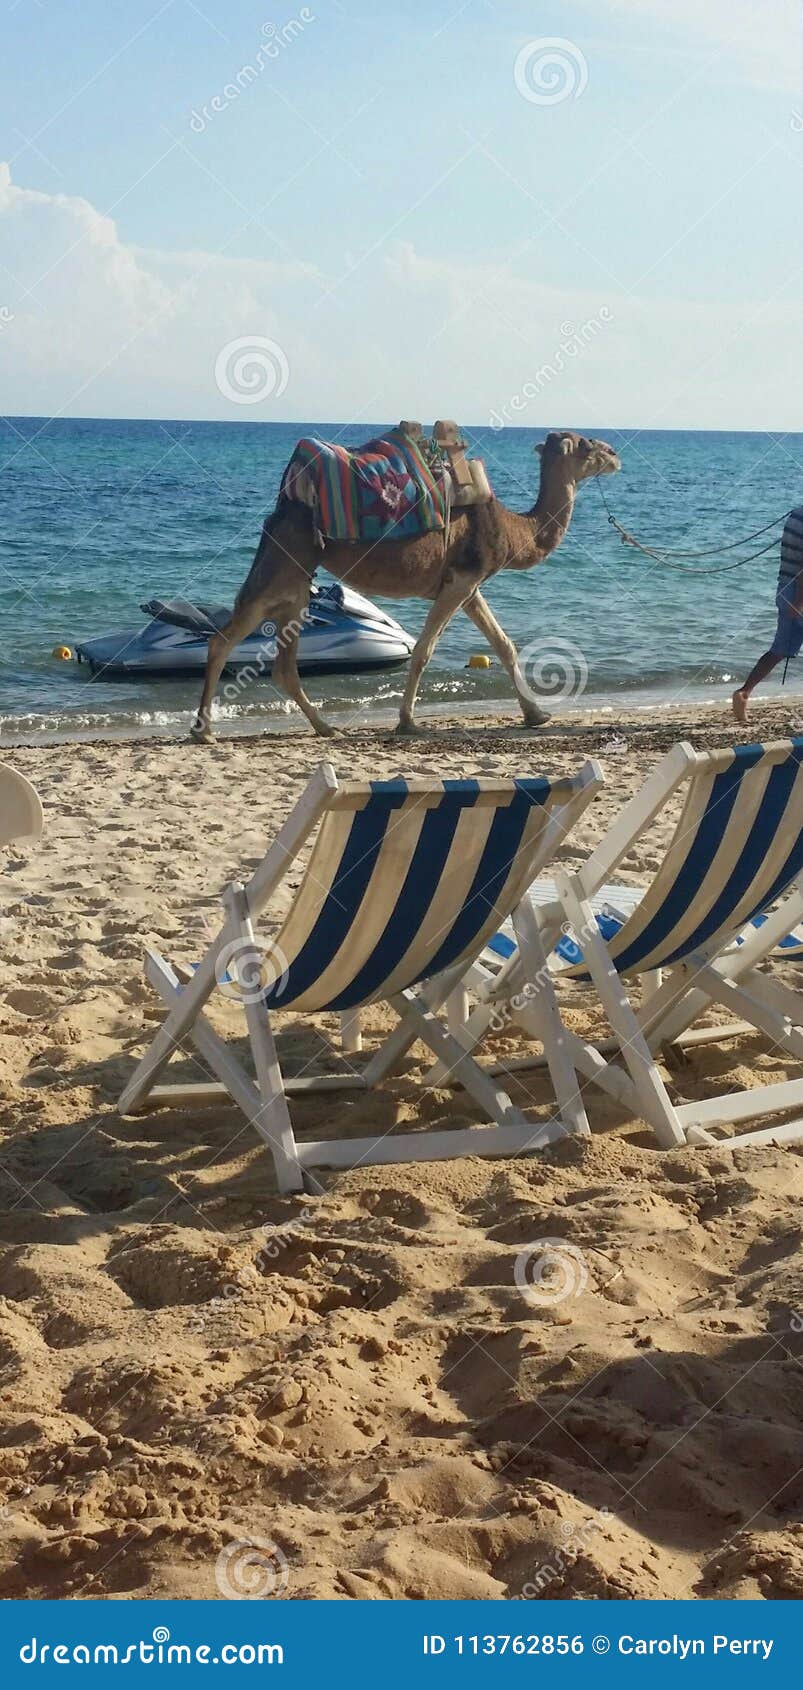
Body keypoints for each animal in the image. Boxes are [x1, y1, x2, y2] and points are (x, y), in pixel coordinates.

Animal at [191, 429, 621, 741]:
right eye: (586, 442)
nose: (615, 453)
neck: (515, 530)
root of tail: (285, 498)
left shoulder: (468, 585)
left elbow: (504, 645)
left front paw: (536, 714)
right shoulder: (462, 580)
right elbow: (424, 651)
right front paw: (407, 723)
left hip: (293, 579)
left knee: (277, 662)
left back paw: (321, 727)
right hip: (286, 565)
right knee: (228, 642)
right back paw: (207, 731)